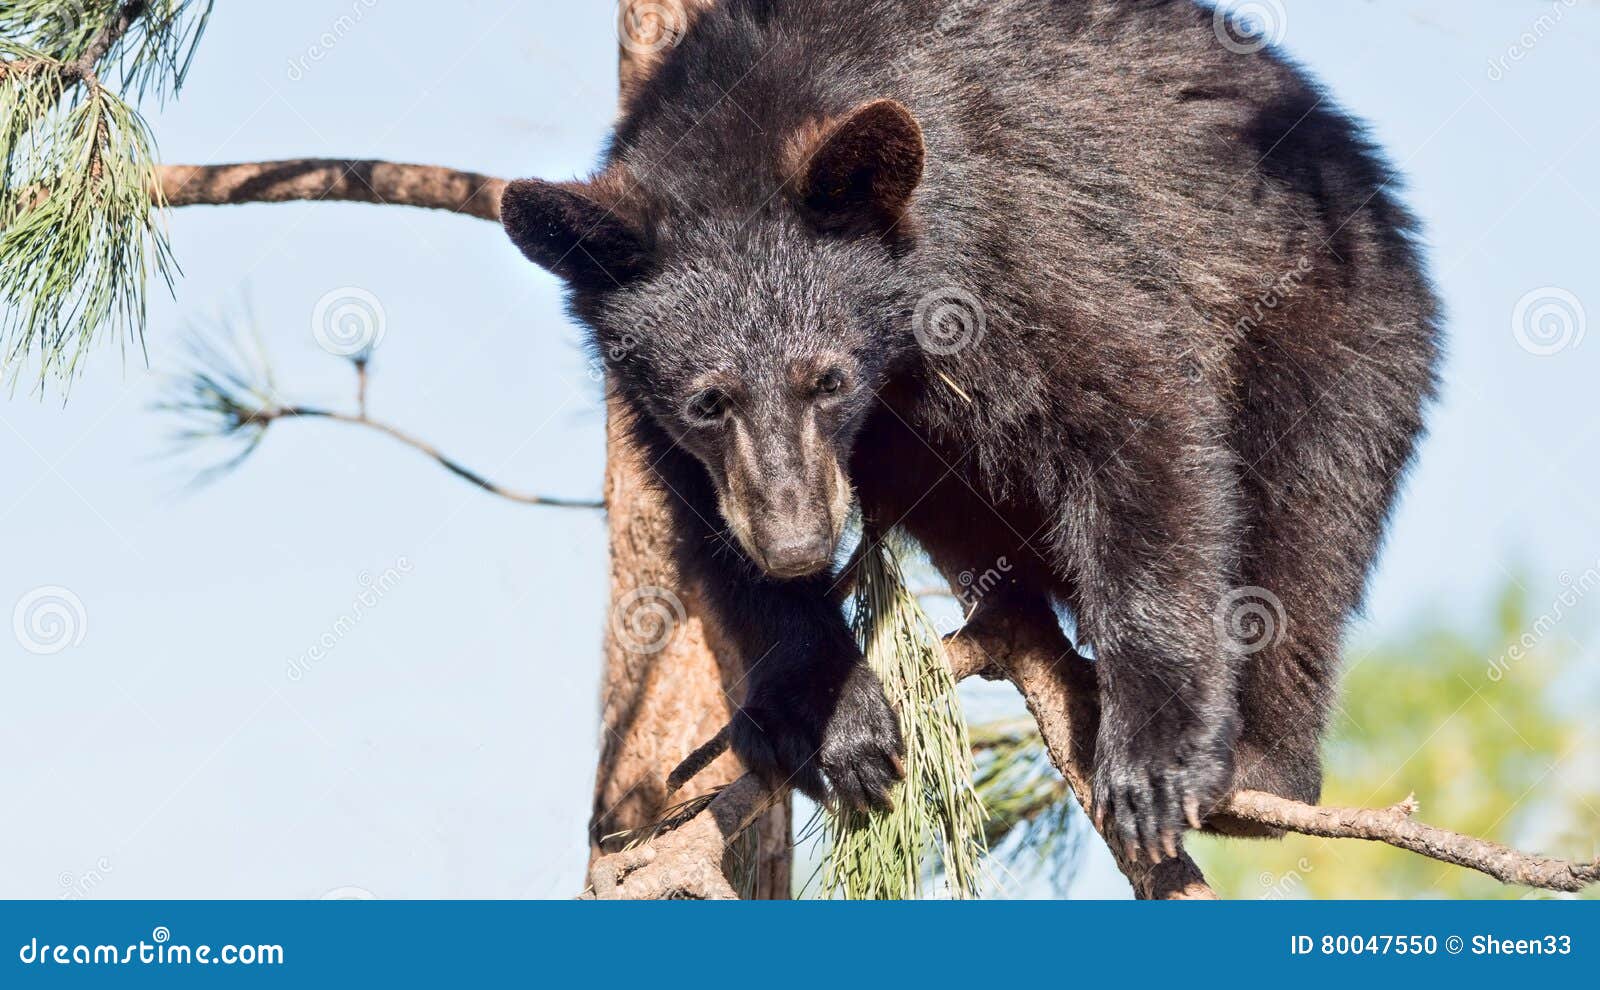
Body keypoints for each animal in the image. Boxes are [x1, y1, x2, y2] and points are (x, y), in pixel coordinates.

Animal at [500, 0, 1441, 861]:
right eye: (708, 401)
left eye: (829, 380)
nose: (798, 546)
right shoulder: (650, 405)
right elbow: (707, 523)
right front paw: (826, 713)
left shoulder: (1022, 242)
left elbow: (1138, 418)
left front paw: (1156, 756)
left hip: (1335, 315)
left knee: (1306, 523)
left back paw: (1263, 765)